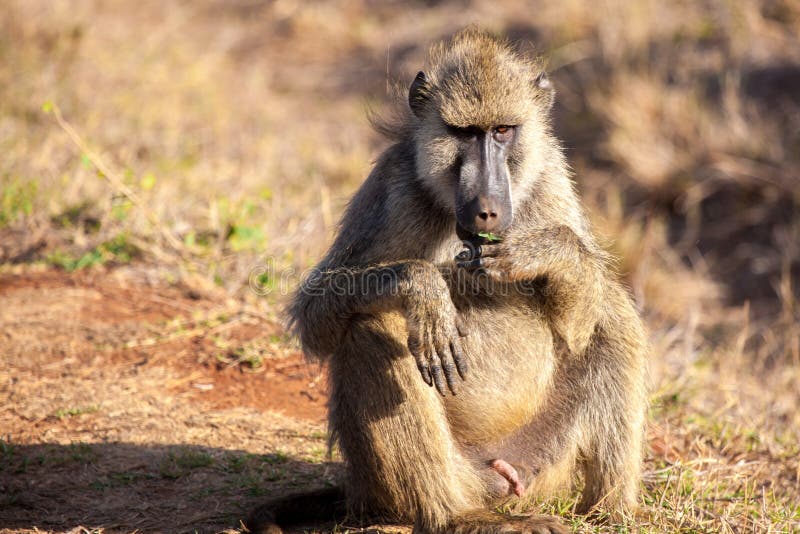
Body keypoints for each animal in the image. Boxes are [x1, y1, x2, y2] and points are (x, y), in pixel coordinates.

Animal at [246, 28, 647, 534]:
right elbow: (316, 312)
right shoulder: (395, 186)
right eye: (465, 133)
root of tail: (499, 477)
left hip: (544, 464)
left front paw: (543, 251)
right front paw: (425, 292)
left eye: (502, 131)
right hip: (427, 478)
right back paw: (458, 516)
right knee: (372, 330)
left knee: (614, 317)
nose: (487, 209)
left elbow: (576, 326)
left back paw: (611, 514)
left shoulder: (550, 176)